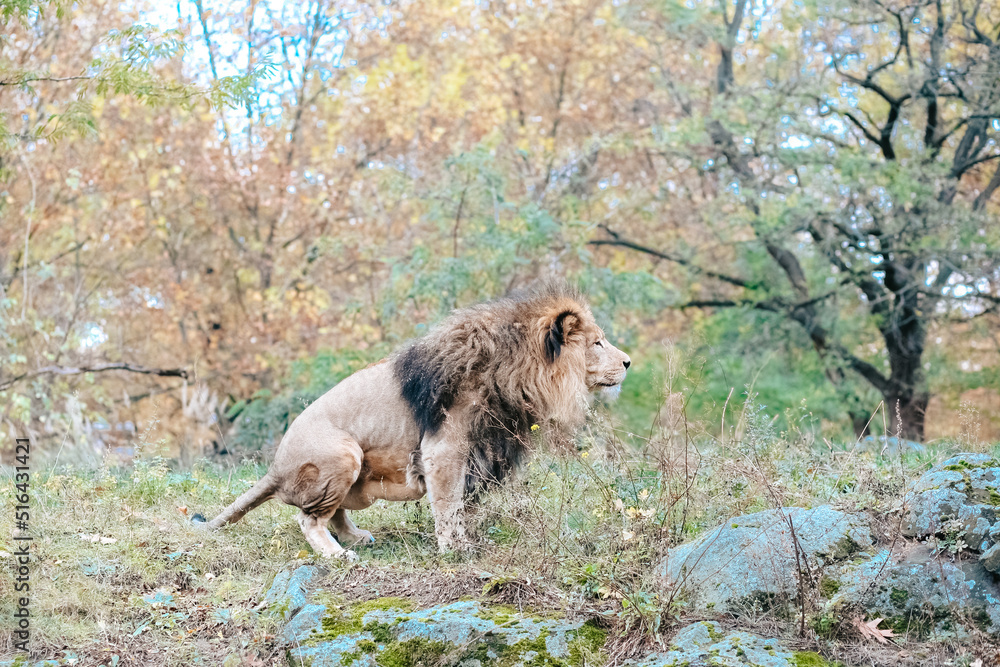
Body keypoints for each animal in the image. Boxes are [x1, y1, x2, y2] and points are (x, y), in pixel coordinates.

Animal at [197, 281, 631, 558]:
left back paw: (355, 538)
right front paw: (455, 550)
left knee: (333, 512)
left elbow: (463, 506)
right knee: (309, 519)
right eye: (597, 342)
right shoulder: (444, 450)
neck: (513, 370)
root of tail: (273, 468)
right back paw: (336, 555)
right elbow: (449, 504)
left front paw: (469, 541)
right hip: (343, 452)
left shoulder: (483, 452)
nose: (628, 362)